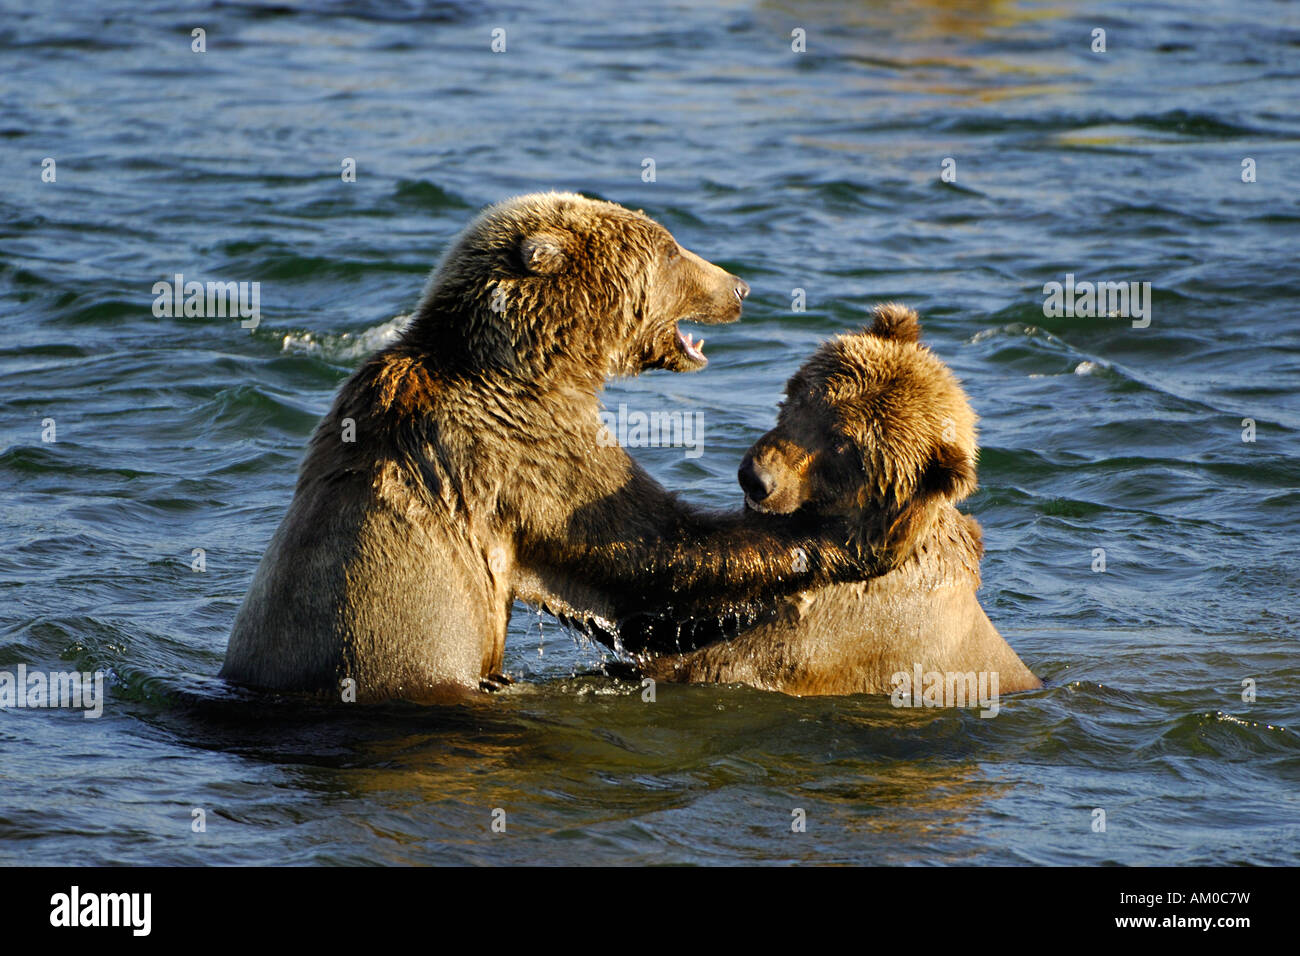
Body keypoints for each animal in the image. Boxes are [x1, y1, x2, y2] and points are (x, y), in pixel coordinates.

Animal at [220, 193, 894, 704]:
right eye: (669, 248)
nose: (740, 286)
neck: (537, 365)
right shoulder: (522, 452)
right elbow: (643, 548)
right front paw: (850, 535)